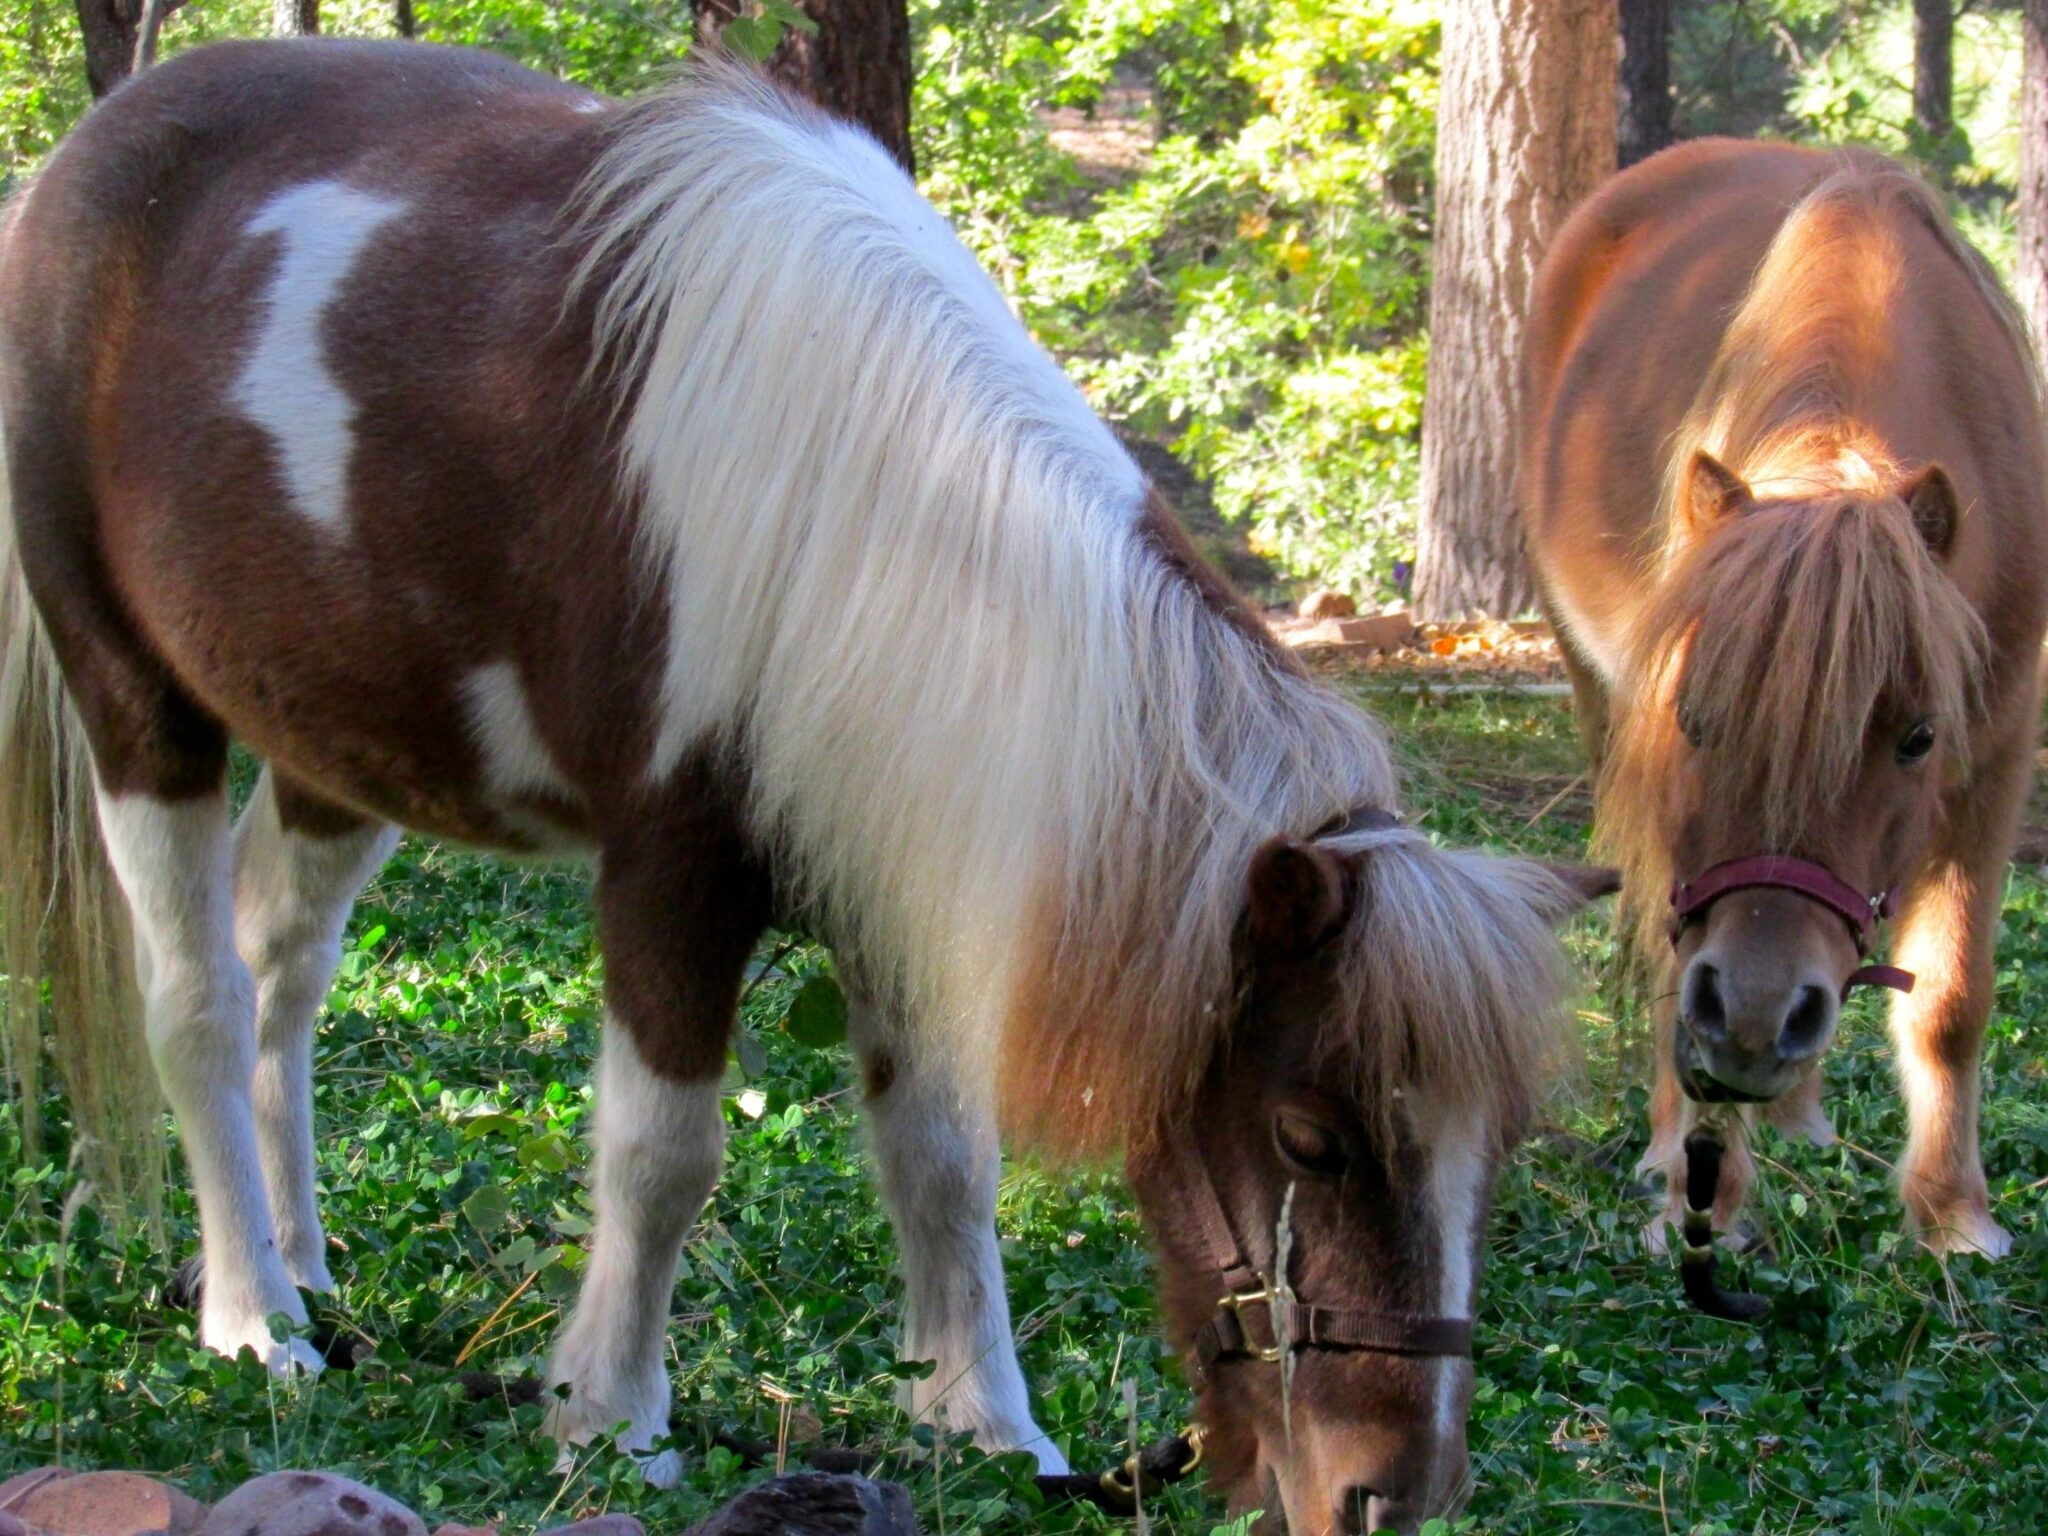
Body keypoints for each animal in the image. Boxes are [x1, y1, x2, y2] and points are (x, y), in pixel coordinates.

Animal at [0, 39, 1607, 1535]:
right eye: (1307, 1138)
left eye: (1495, 1155)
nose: (1392, 1497)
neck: (882, 519)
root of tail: (84, 166)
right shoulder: (670, 873)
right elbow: (660, 1156)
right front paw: (613, 1422)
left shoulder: (895, 868)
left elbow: (944, 1163)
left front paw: (987, 1427)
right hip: (136, 701)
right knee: (199, 1006)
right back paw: (251, 1318)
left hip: (339, 750)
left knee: (282, 971)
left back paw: (302, 1267)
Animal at [1520, 138, 2046, 1291]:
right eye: (1695, 718)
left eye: (1915, 737)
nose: (1758, 1020)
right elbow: (1679, 965)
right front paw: (1695, 1194)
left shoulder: (1992, 759)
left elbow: (1950, 1000)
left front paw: (1951, 1216)